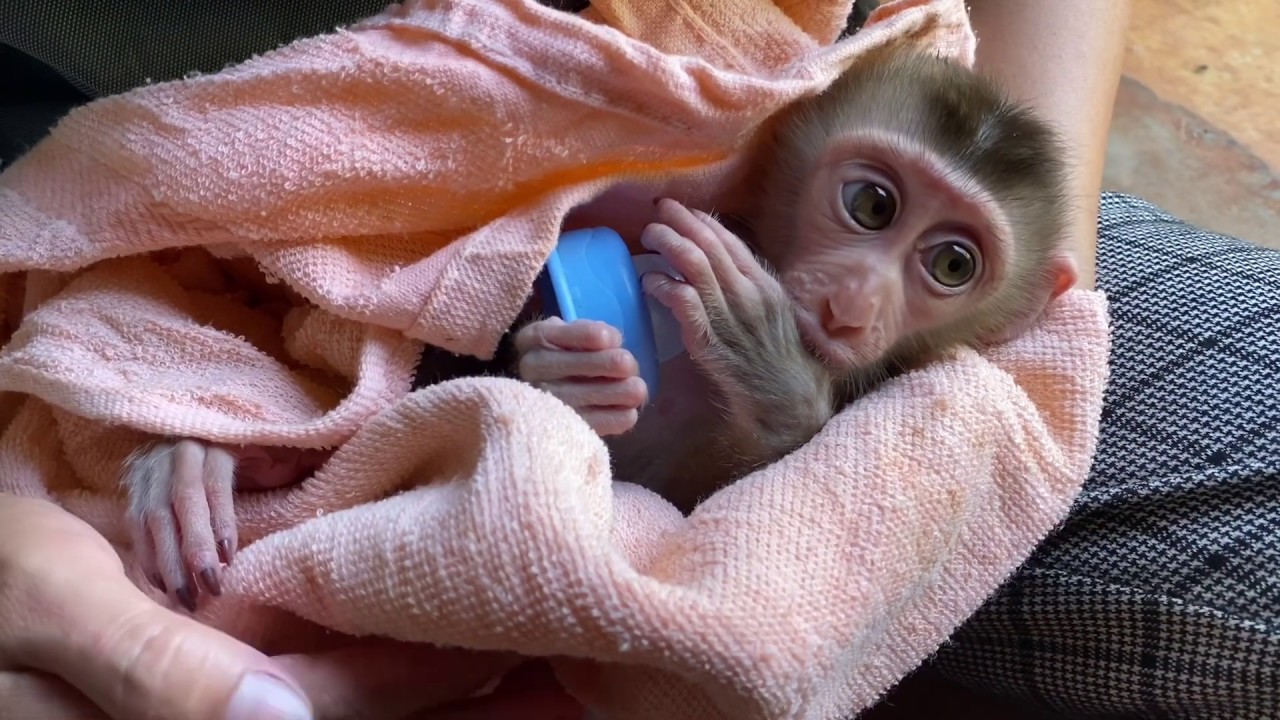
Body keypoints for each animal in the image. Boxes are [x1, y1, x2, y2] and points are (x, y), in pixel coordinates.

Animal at [121, 41, 1078, 611]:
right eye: (872, 205)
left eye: (951, 265)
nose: (852, 303)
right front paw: (564, 373)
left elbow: (708, 513)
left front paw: (770, 371)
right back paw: (209, 464)